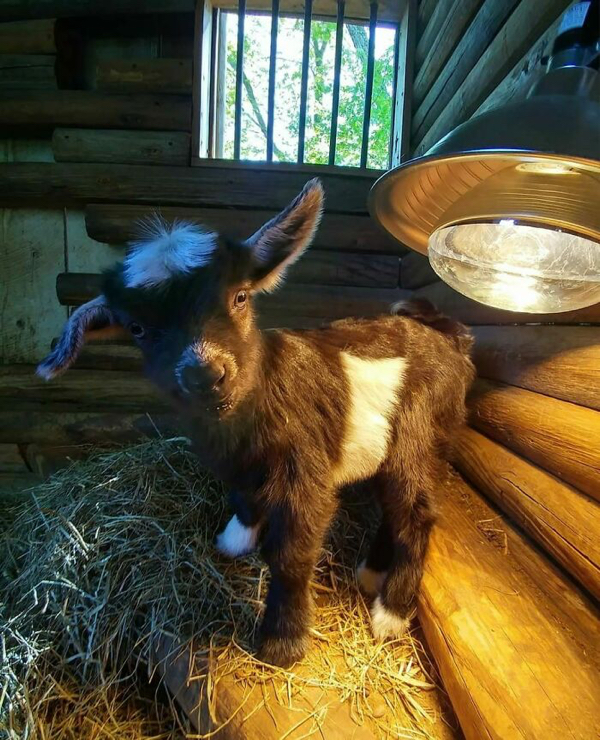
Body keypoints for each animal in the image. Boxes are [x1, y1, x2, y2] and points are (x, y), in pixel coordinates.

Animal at [37, 179, 475, 667]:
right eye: (136, 327)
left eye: (240, 296)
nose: (206, 375)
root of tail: (449, 335)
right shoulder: (240, 467)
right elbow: (244, 498)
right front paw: (234, 540)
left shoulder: (306, 471)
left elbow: (291, 553)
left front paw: (281, 642)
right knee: (394, 506)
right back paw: (370, 572)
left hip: (419, 432)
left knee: (416, 511)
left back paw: (390, 613)